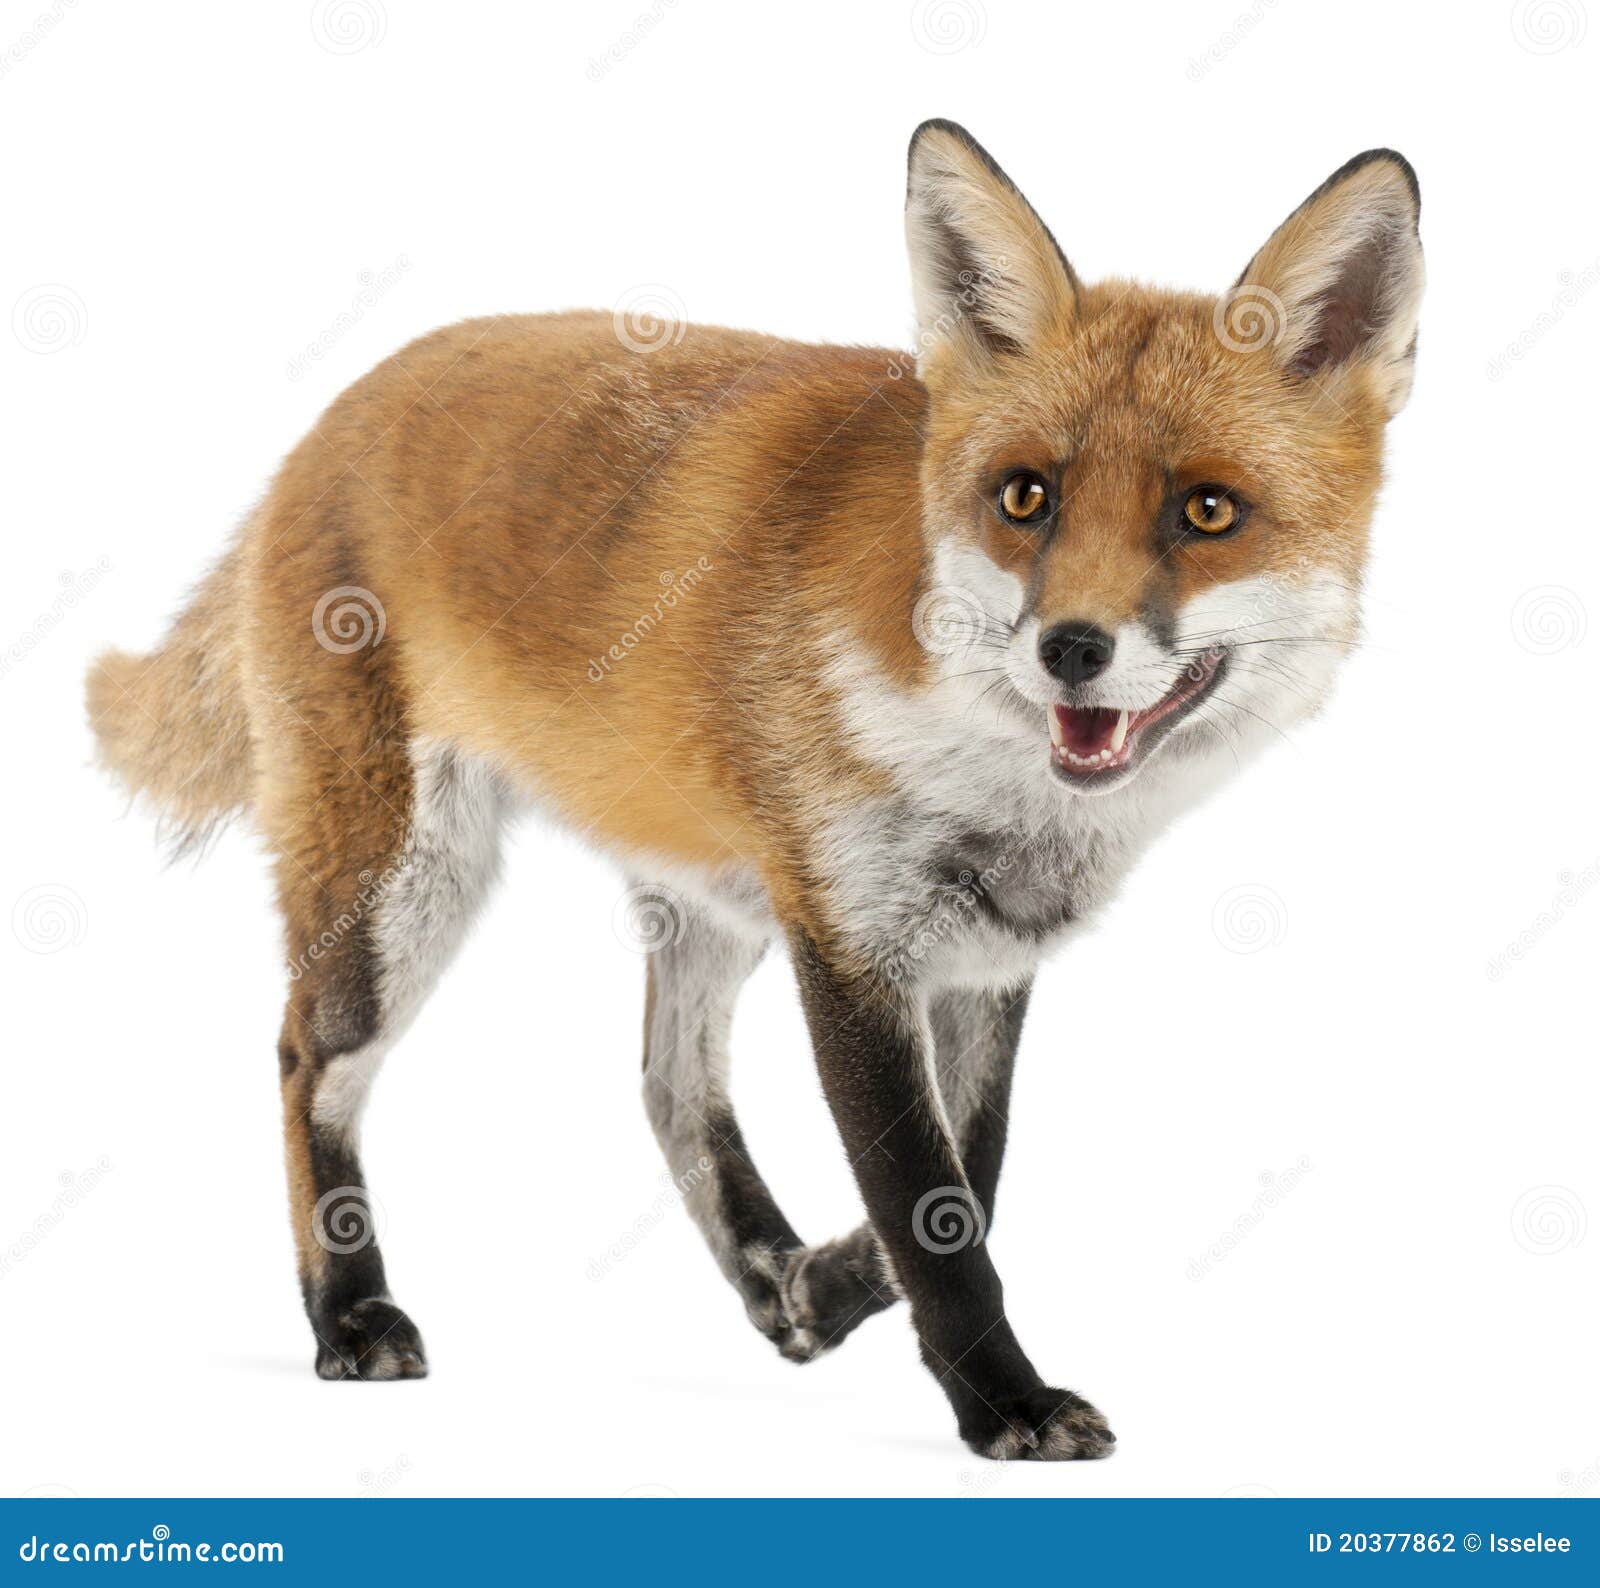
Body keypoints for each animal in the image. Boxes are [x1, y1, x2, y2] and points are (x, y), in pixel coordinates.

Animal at [86, 121, 1422, 1460]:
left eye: (1207, 511)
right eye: (1024, 496)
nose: (1071, 650)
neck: (983, 765)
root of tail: (332, 414)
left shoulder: (978, 957)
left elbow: (972, 1173)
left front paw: (824, 1290)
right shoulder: (846, 934)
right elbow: (935, 1212)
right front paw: (1003, 1402)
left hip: (709, 904)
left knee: (666, 1081)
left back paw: (770, 1267)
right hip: (401, 894)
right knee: (306, 1060)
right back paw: (348, 1312)